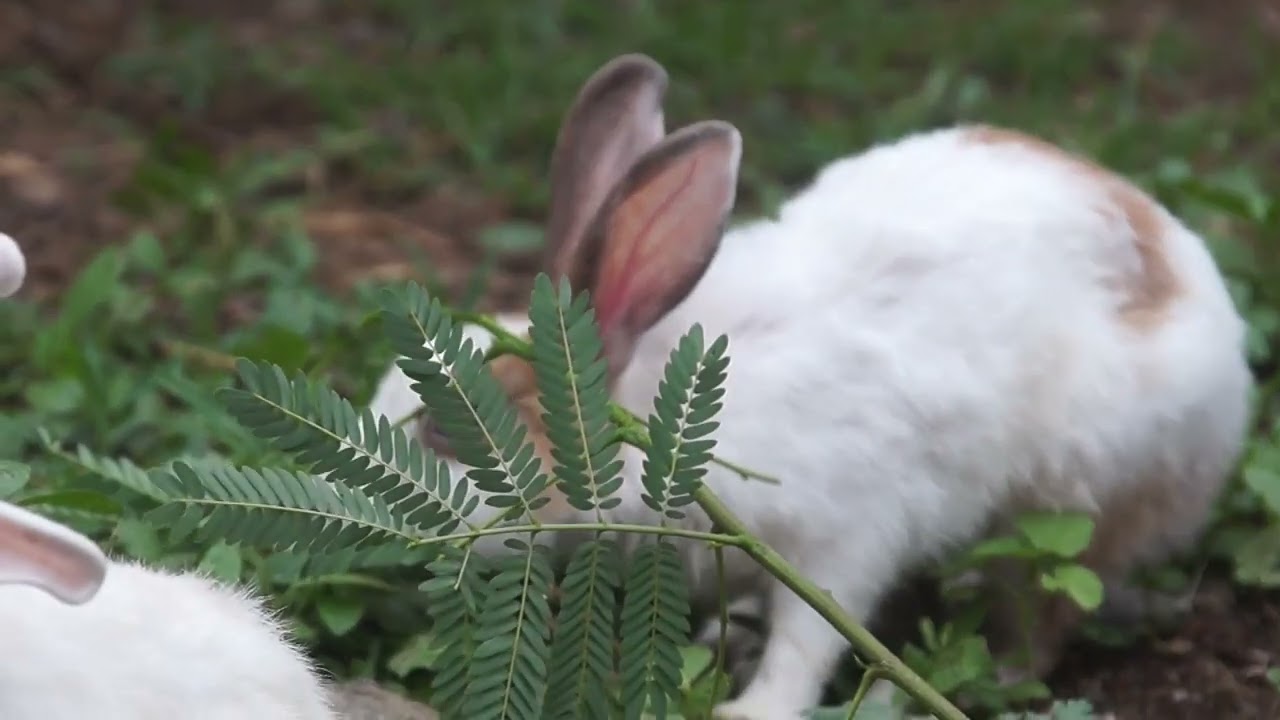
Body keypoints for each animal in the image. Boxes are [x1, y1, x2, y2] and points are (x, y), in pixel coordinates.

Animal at [366, 53, 1251, 720]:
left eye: (447, 428)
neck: (645, 407)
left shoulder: (843, 533)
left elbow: (813, 635)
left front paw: (748, 710)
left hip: (1082, 493)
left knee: (1050, 603)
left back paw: (992, 669)